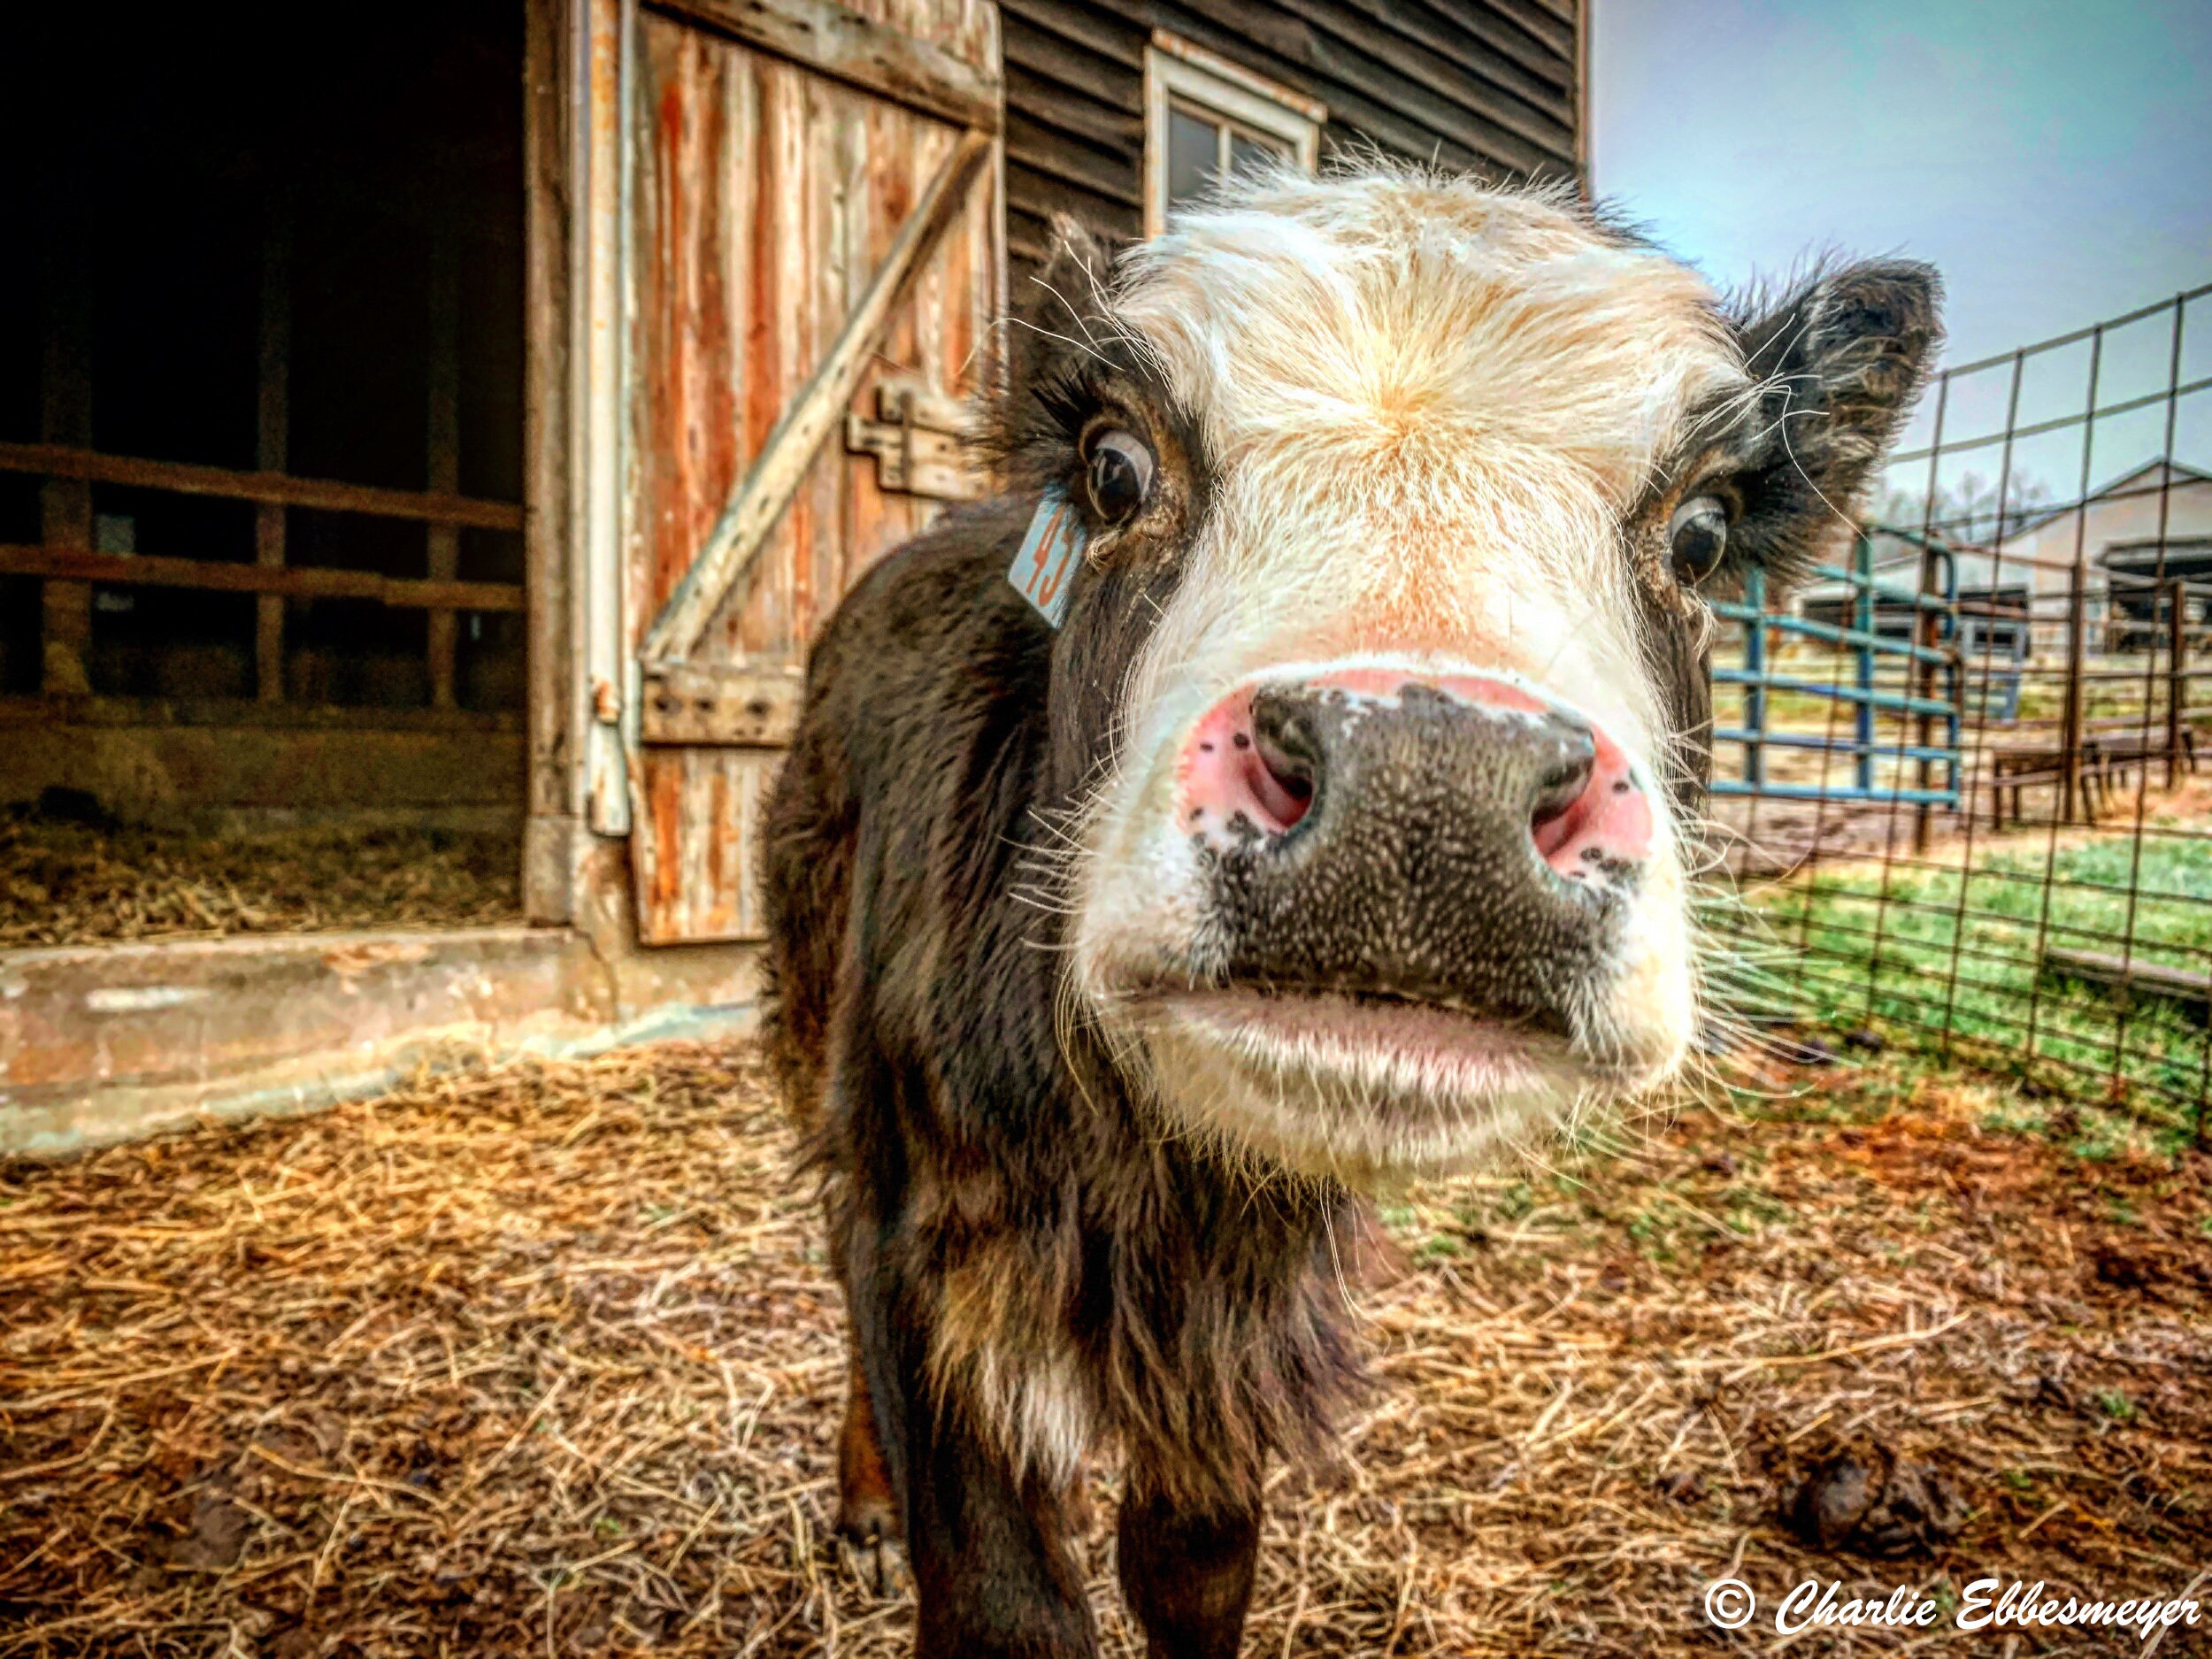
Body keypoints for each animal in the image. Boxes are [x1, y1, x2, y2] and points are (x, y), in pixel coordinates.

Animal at [760, 165, 1939, 1658]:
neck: (1159, 1176)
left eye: (1704, 529)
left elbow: (1197, 1558)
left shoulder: (1235, 1322)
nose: (1424, 792)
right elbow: (1005, 1600)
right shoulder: (925, 1222)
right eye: (1115, 466)